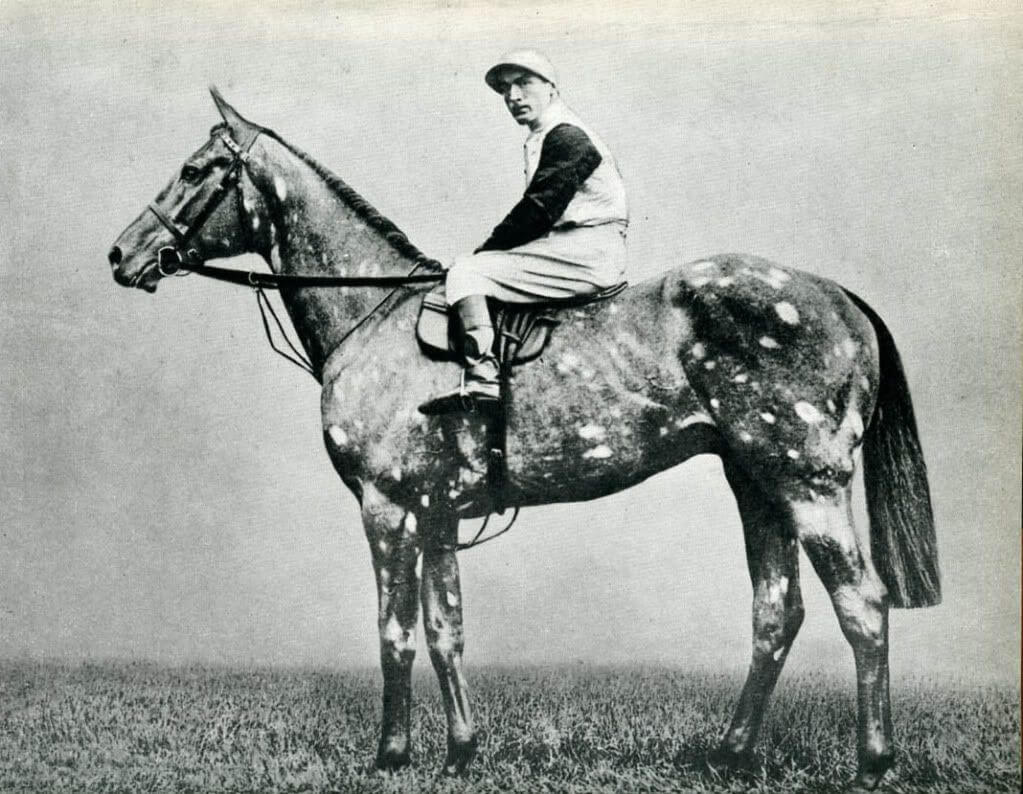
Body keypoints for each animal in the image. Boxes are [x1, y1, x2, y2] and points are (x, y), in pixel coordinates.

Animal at [108, 88, 940, 791]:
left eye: (195, 170)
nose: (122, 254)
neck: (372, 313)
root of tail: (833, 293)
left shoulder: (387, 508)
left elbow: (393, 632)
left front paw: (390, 754)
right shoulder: (438, 514)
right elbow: (445, 630)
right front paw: (459, 753)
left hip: (805, 481)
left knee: (861, 605)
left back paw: (872, 762)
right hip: (756, 483)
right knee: (775, 612)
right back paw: (729, 753)